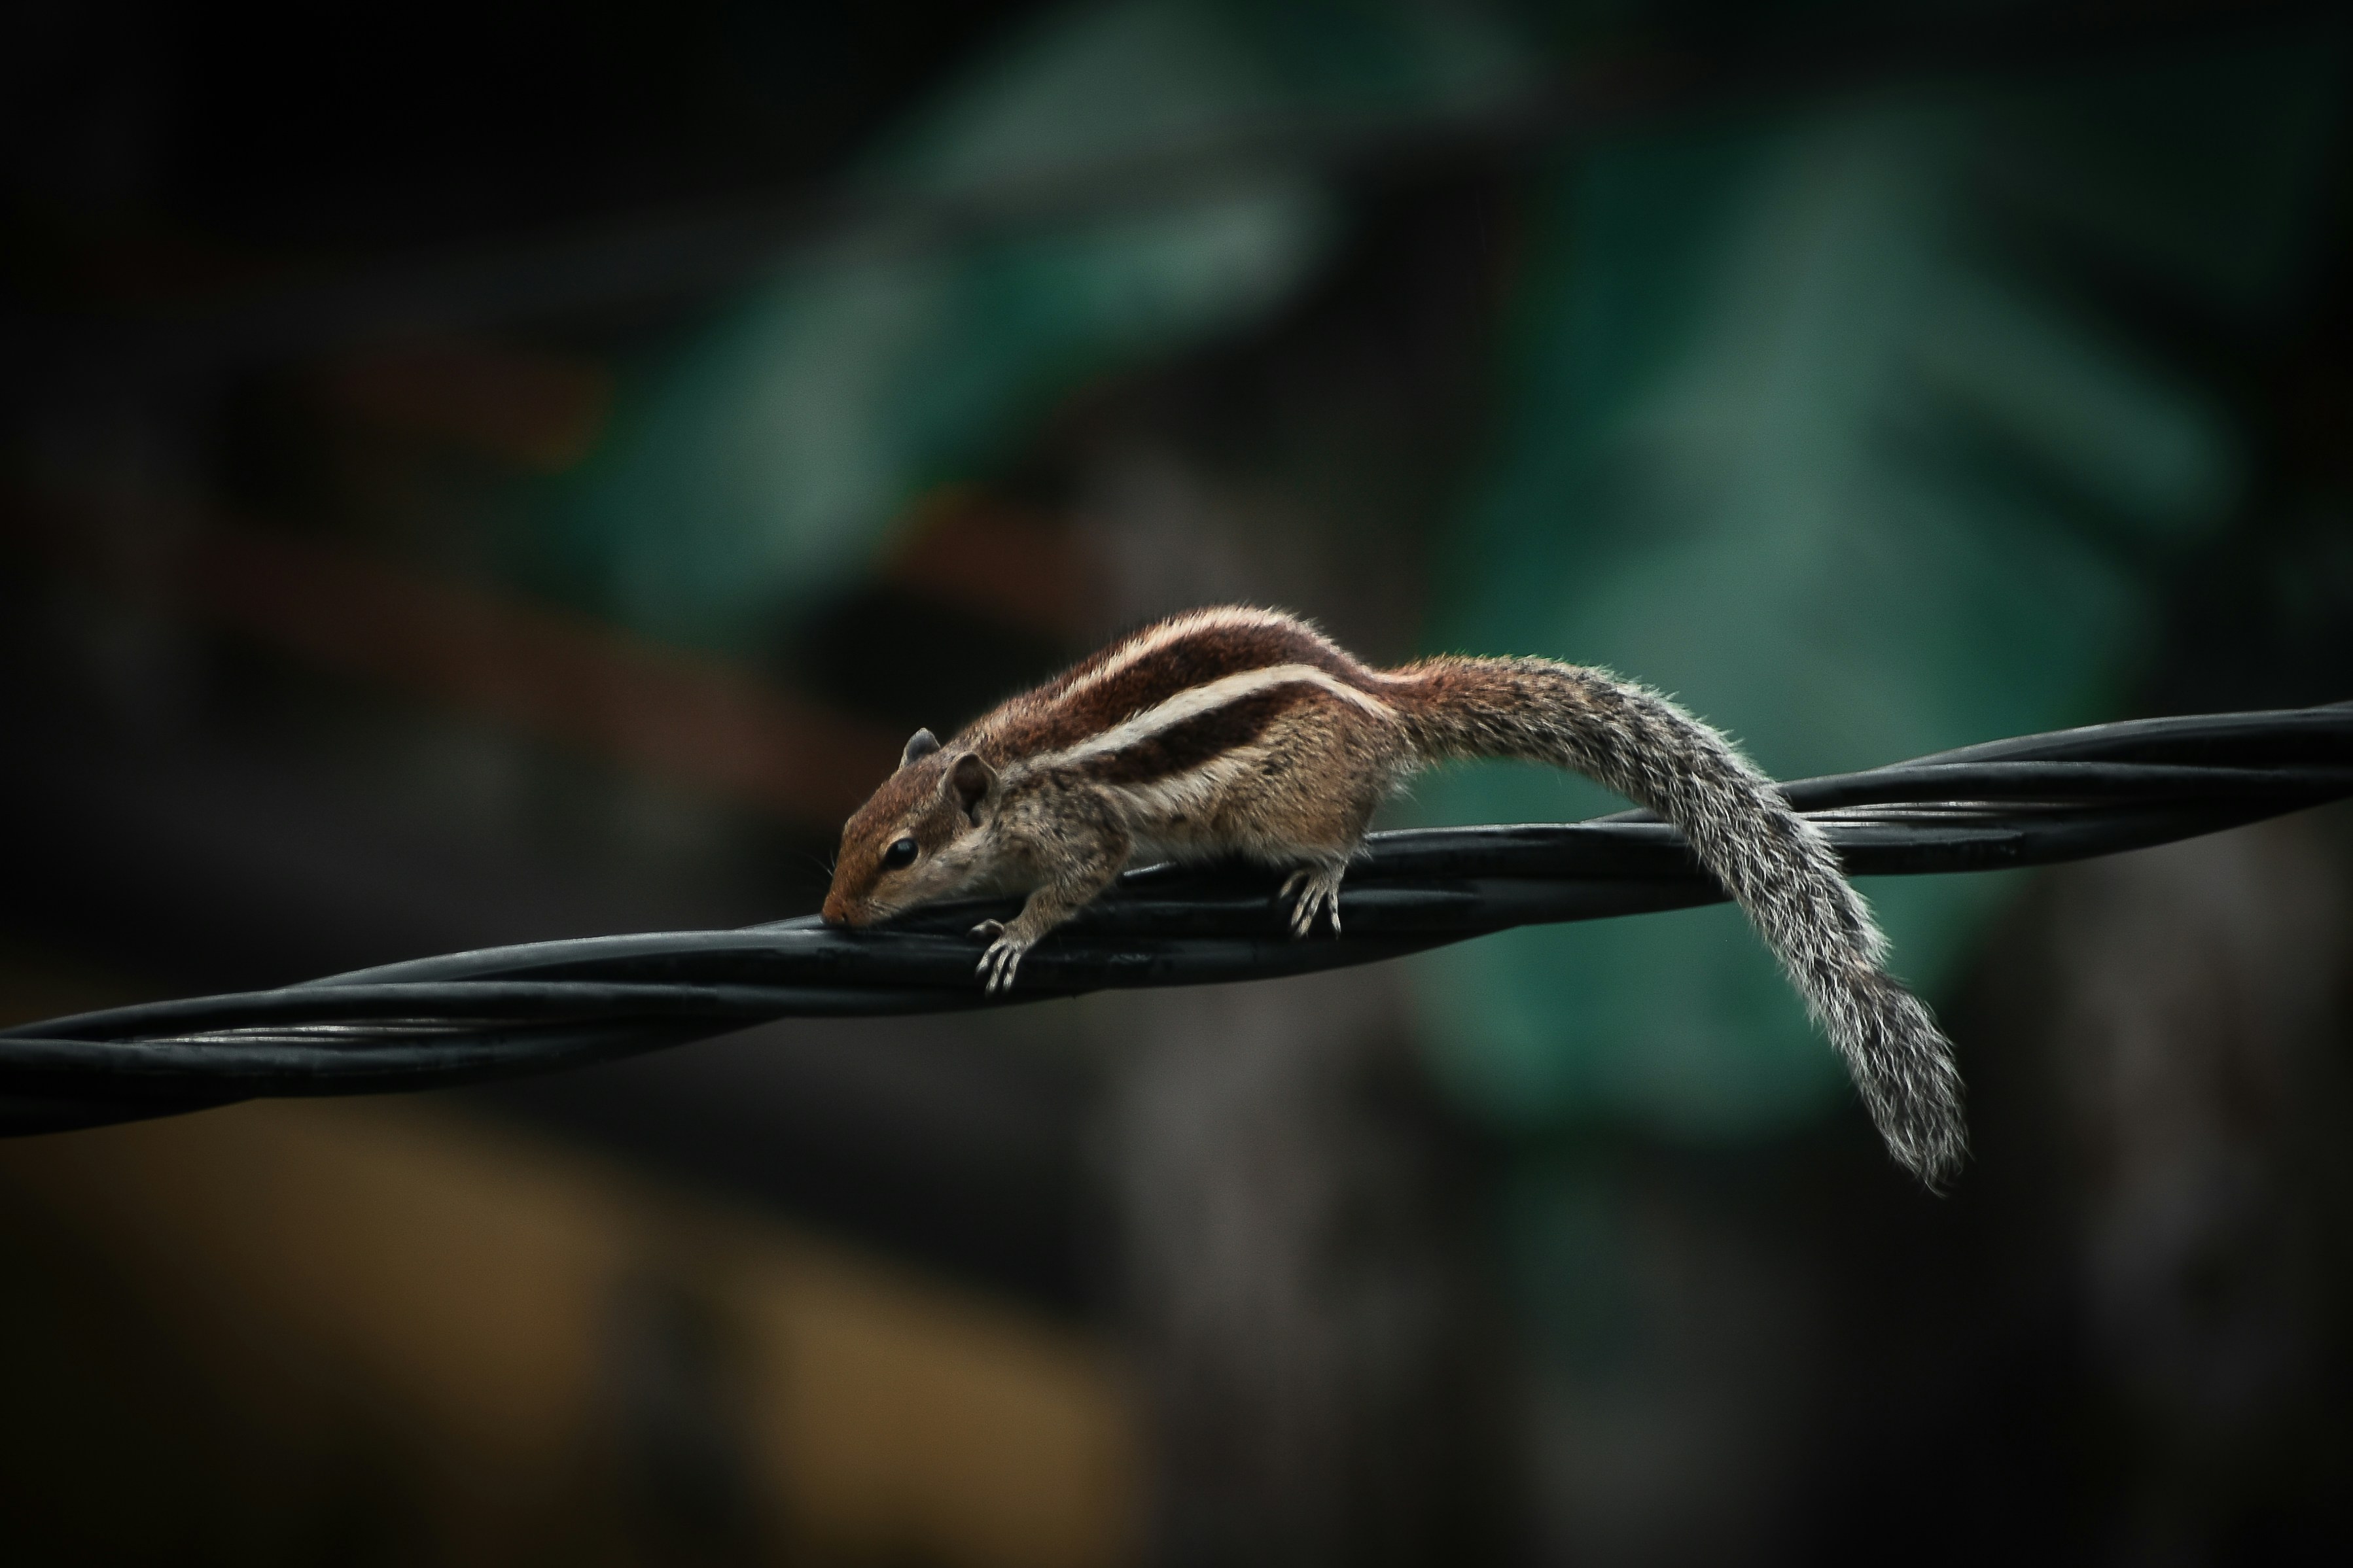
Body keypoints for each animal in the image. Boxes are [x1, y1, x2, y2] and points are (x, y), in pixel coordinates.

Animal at [822, 606, 1967, 1188]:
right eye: (846, 834)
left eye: (902, 852)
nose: (832, 918)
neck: (1005, 771)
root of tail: (1381, 701)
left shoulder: (1083, 828)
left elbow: (1080, 880)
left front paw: (1017, 932)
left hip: (1290, 798)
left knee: (1346, 831)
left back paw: (1322, 872)